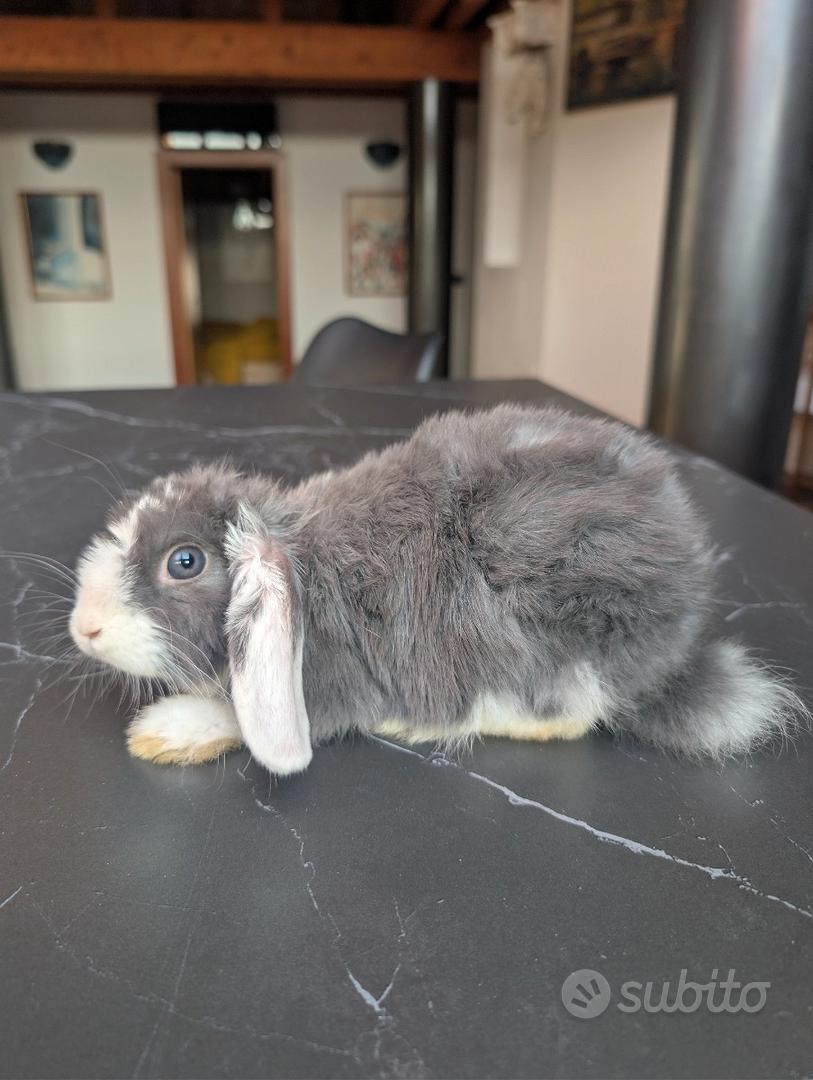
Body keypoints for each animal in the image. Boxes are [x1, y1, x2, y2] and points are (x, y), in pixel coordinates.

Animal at [68, 403, 803, 775]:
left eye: (185, 562)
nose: (85, 628)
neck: (303, 564)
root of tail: (675, 650)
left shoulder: (326, 684)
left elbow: (242, 716)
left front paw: (165, 731)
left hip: (560, 621)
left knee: (567, 714)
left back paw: (421, 724)